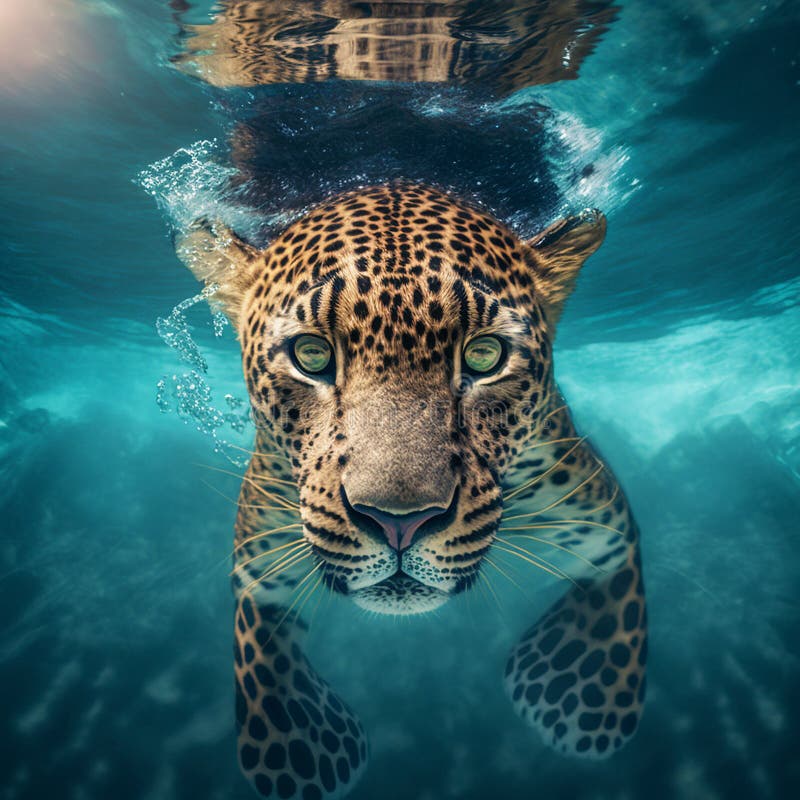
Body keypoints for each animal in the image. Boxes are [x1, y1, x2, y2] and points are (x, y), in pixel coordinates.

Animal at [176, 181, 647, 800]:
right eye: (311, 355)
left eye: (484, 355)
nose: (399, 521)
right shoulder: (258, 553)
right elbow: (259, 651)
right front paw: (301, 747)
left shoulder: (600, 514)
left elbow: (616, 589)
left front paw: (578, 693)